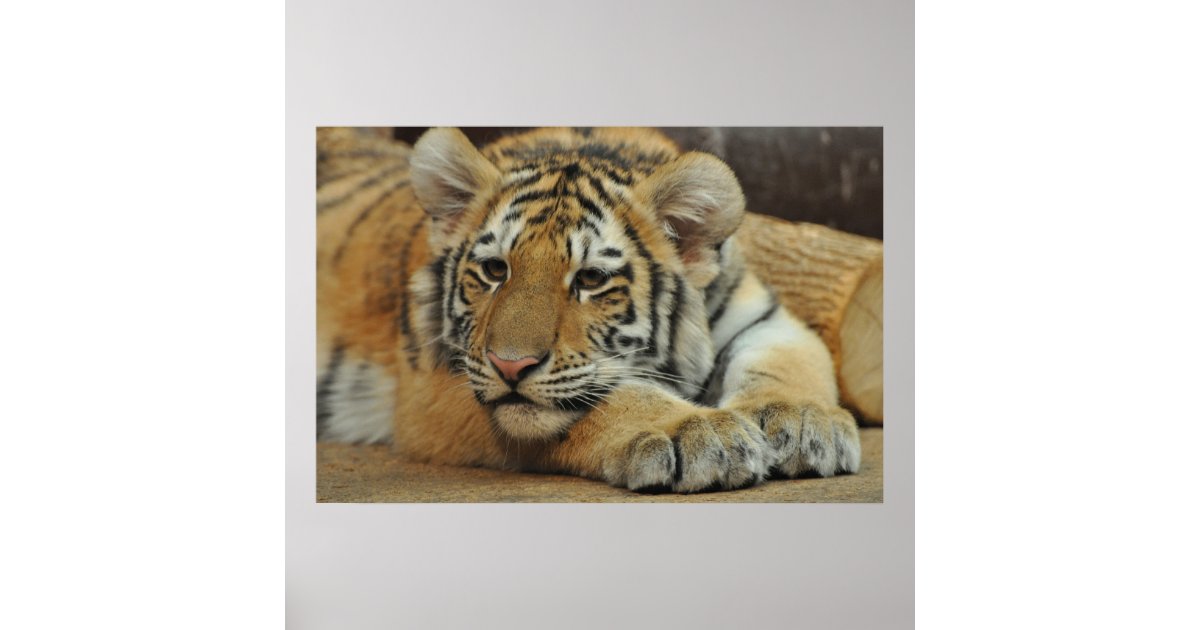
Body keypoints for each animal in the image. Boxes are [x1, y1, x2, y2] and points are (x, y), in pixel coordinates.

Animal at [317, 127, 861, 493]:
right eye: (494, 270)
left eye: (591, 279)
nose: (510, 366)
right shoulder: (436, 381)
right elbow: (615, 397)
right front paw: (703, 434)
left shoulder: (762, 312)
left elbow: (786, 360)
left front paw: (803, 423)